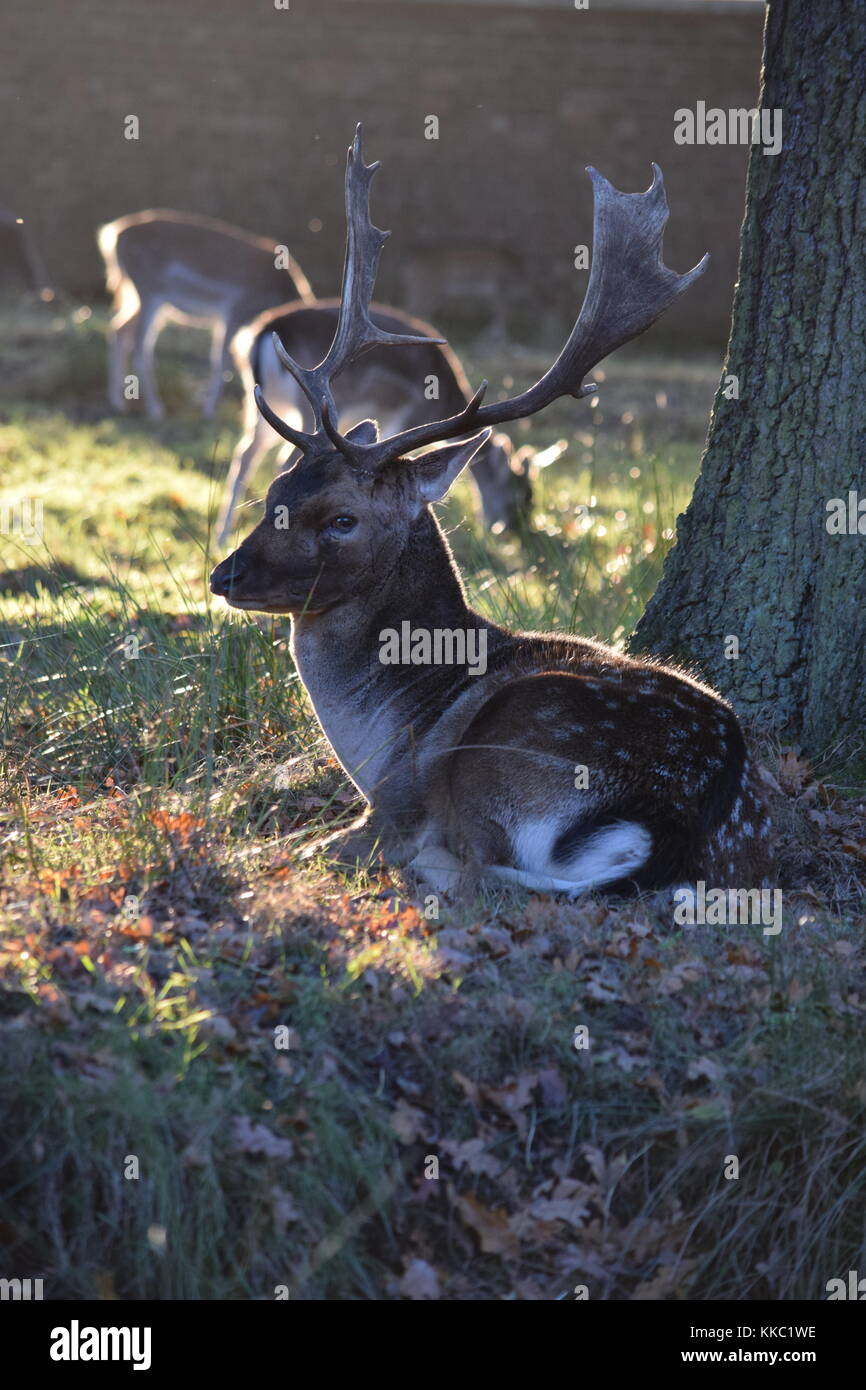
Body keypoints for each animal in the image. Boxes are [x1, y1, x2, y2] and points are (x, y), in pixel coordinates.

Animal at [97, 209, 314, 421]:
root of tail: (113, 235)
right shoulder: (235, 311)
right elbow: (221, 358)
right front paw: (209, 412)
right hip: (148, 291)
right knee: (140, 345)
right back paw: (155, 410)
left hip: (136, 295)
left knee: (118, 329)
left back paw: (118, 404)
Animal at [216, 299, 531, 544]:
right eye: (518, 494)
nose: (512, 532)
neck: (445, 400)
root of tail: (263, 333)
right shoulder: (405, 414)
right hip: (318, 405)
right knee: (283, 459)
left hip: (262, 402)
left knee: (246, 452)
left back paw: (222, 535)